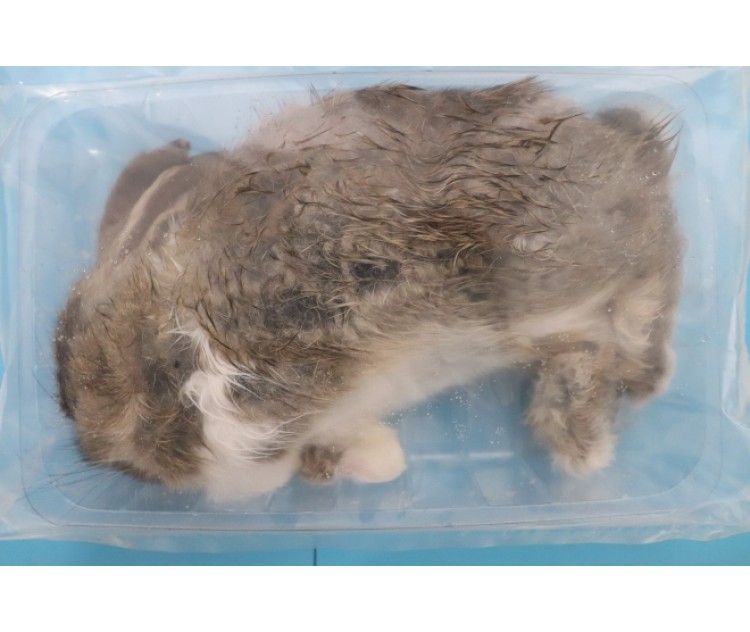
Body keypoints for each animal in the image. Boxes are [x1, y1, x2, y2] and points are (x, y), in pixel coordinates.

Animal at [54, 78, 683, 502]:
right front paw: (380, 462)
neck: (193, 309)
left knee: (651, 277)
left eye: (160, 372)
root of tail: (631, 163)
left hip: (554, 291)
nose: (118, 463)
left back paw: (611, 412)